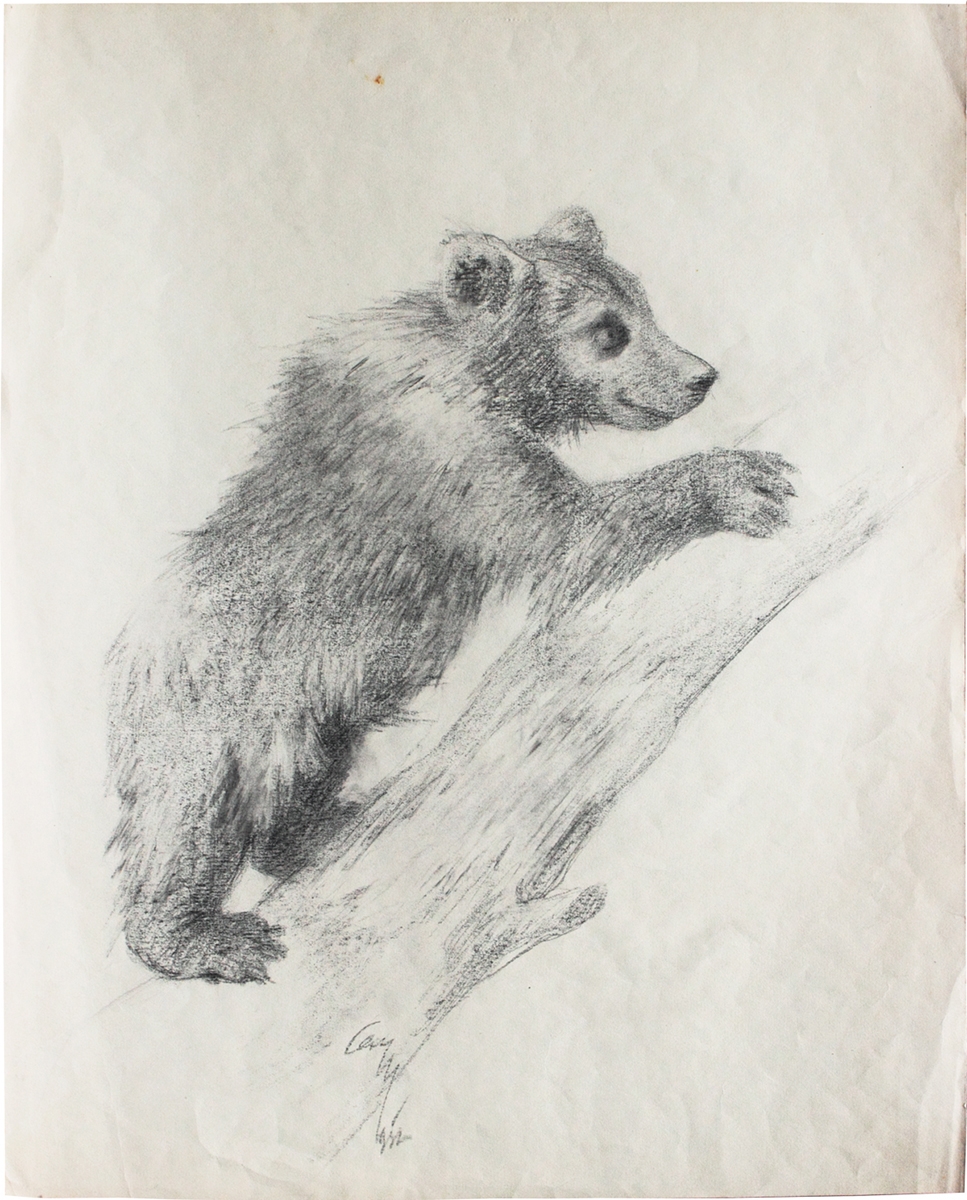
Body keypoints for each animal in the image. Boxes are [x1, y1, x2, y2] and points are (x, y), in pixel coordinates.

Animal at [107, 208, 795, 983]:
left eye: (645, 306)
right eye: (607, 330)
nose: (700, 376)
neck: (480, 373)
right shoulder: (446, 448)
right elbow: (572, 537)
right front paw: (739, 478)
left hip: (319, 711)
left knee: (303, 780)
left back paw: (325, 828)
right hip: (221, 705)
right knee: (185, 817)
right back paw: (198, 936)